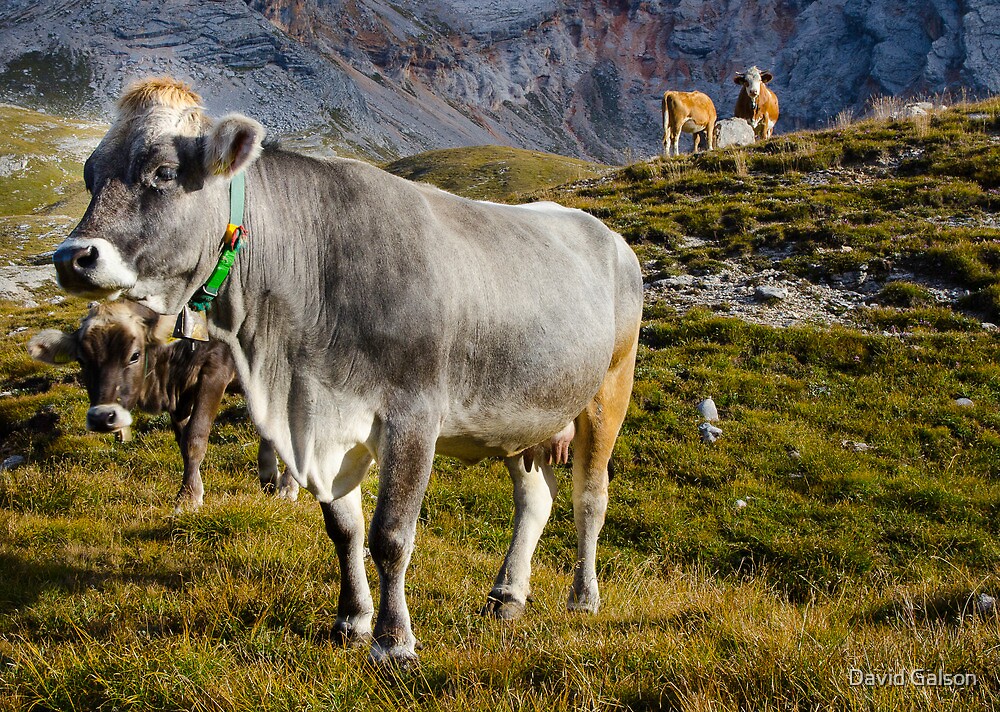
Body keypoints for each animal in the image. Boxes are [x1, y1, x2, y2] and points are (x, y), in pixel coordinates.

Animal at [27, 300, 298, 510]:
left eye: (135, 355)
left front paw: (188, 499)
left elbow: (196, 437)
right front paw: (193, 488)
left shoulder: (216, 369)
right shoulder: (180, 396)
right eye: (82, 360)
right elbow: (183, 441)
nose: (102, 418)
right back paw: (268, 477)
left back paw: (287, 486)